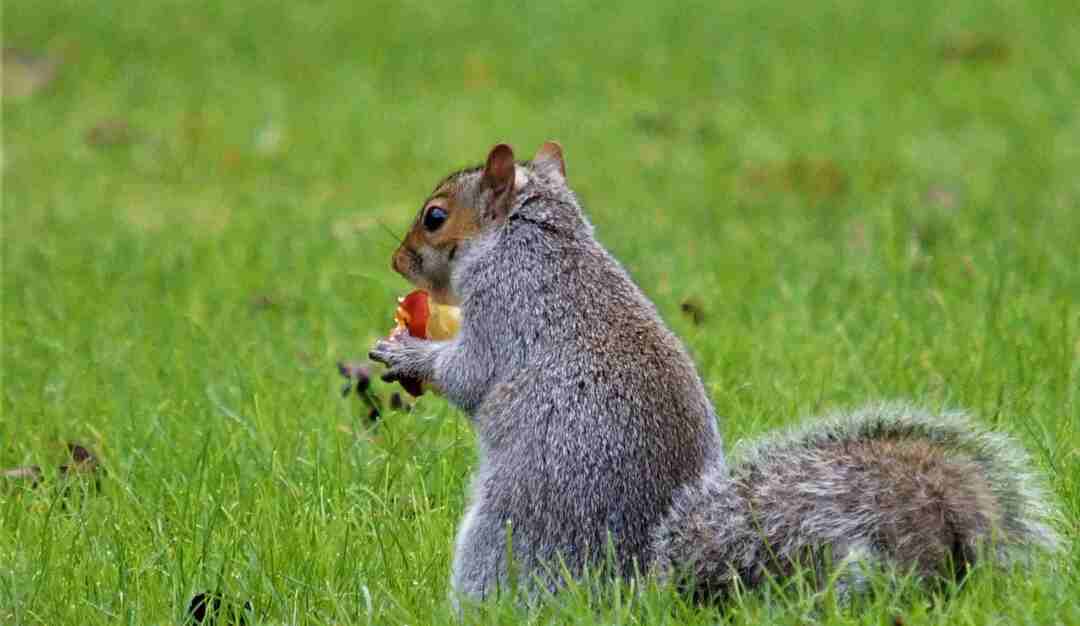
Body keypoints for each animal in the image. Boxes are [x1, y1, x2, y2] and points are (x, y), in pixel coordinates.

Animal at [369, 143, 1054, 604]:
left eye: (434, 217)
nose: (396, 260)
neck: (534, 237)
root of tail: (640, 585)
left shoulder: (505, 303)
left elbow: (470, 374)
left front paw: (405, 352)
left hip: (505, 534)